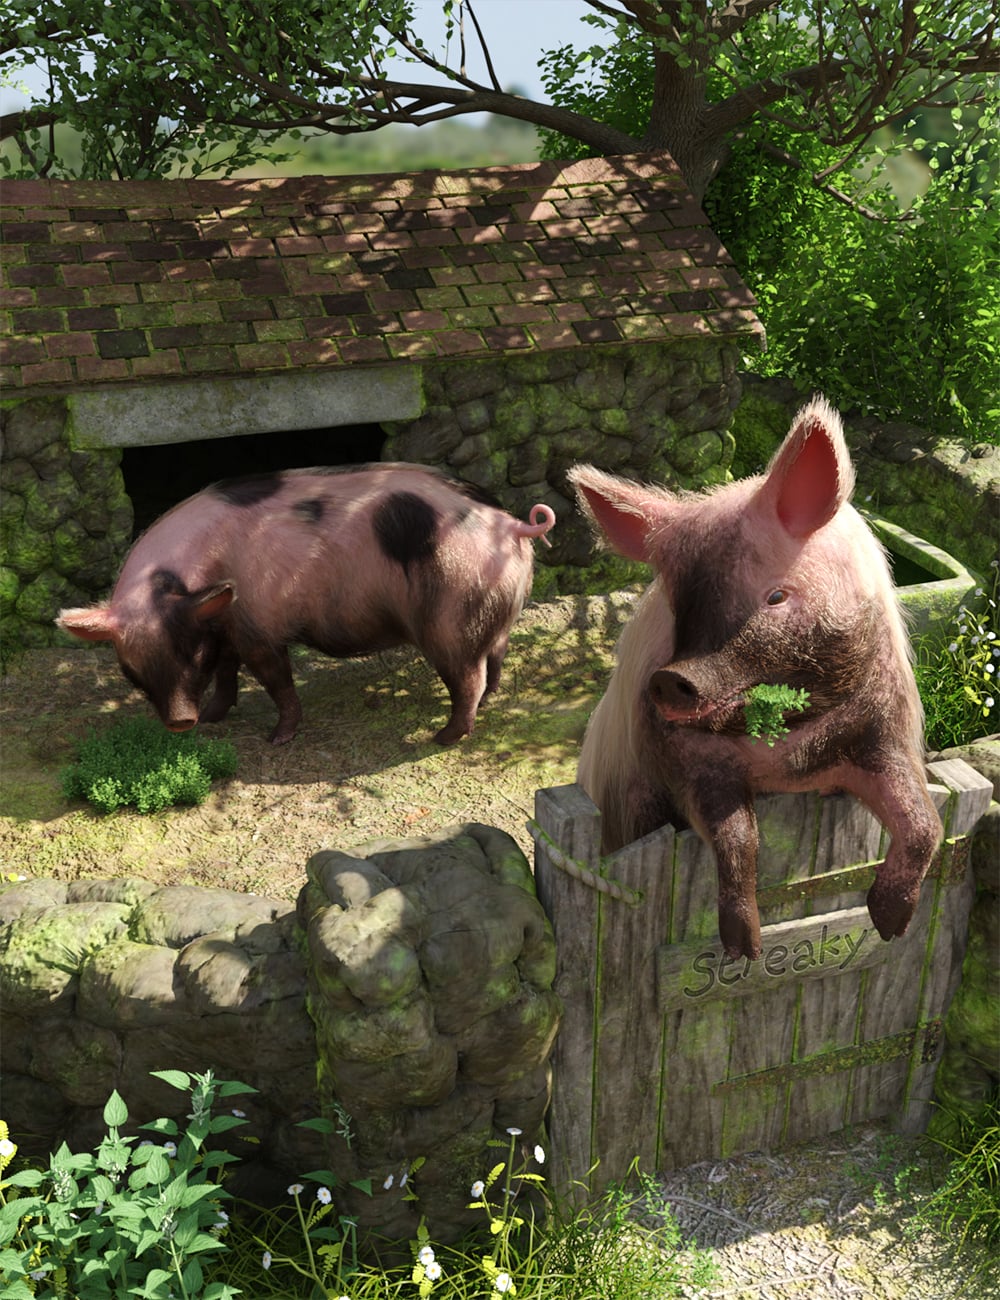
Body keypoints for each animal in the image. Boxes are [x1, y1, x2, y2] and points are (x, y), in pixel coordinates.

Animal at [56, 464, 555, 746]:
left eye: (191, 655)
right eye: (130, 671)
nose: (182, 723)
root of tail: (509, 524)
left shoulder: (259, 626)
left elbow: (277, 680)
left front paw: (277, 740)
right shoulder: (227, 624)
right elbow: (227, 672)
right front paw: (216, 716)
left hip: (452, 617)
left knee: (467, 677)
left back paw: (443, 738)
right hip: (494, 610)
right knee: (495, 659)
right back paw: (487, 703)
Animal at [568, 396, 941, 962]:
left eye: (775, 596)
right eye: (678, 605)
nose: (672, 680)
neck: (787, 761)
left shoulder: (883, 731)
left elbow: (924, 821)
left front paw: (889, 925)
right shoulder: (682, 757)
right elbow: (737, 835)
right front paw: (746, 950)